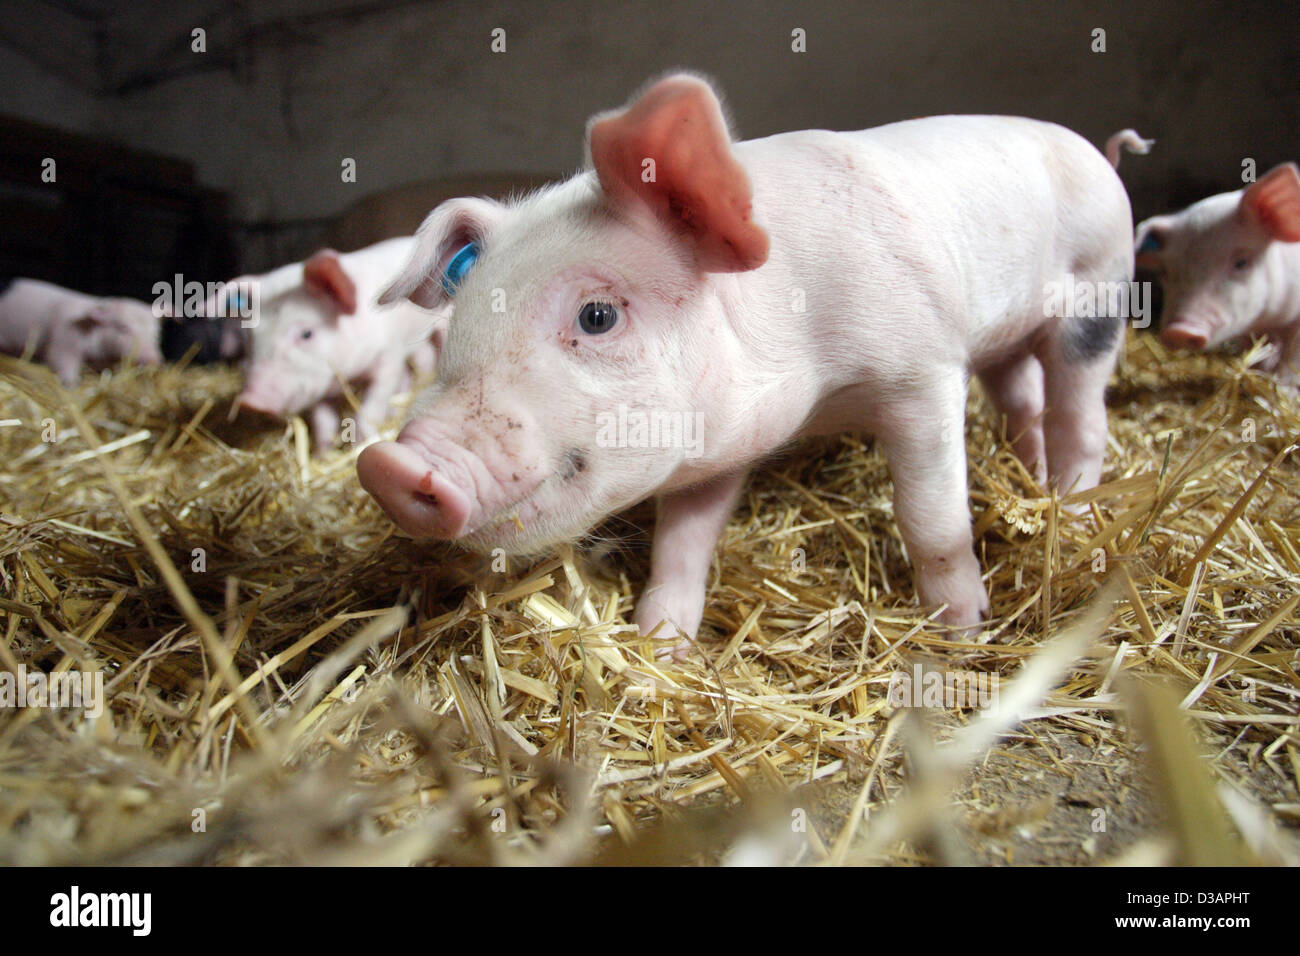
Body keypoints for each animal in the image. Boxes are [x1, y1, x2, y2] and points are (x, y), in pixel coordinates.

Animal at [0, 278, 162, 385]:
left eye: (155, 335)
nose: (154, 359)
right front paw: (71, 385)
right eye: (123, 327)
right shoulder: (64, 339)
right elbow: (61, 362)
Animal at [232, 238, 447, 452]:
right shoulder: (321, 388)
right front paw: (322, 453)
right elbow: (323, 423)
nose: (249, 402)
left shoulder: (388, 357)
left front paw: (360, 446)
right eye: (249, 337)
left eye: (306, 334)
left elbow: (370, 408)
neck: (349, 374)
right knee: (423, 357)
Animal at [357, 73, 1139, 651]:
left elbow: (929, 514)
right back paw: (1031, 474)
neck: (816, 387)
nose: (388, 465)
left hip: (1099, 290)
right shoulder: (716, 445)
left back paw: (1071, 505)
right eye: (461, 320)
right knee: (1022, 397)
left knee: (1082, 414)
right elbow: (683, 540)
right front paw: (661, 644)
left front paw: (961, 629)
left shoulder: (922, 369)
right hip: (1006, 337)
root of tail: (1095, 152)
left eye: (597, 316)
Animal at [1135, 163, 1300, 381]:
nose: (1179, 332)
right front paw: (1259, 369)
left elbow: (1291, 358)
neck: (1270, 319)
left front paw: (1281, 383)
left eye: (1241, 262)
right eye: (1165, 271)